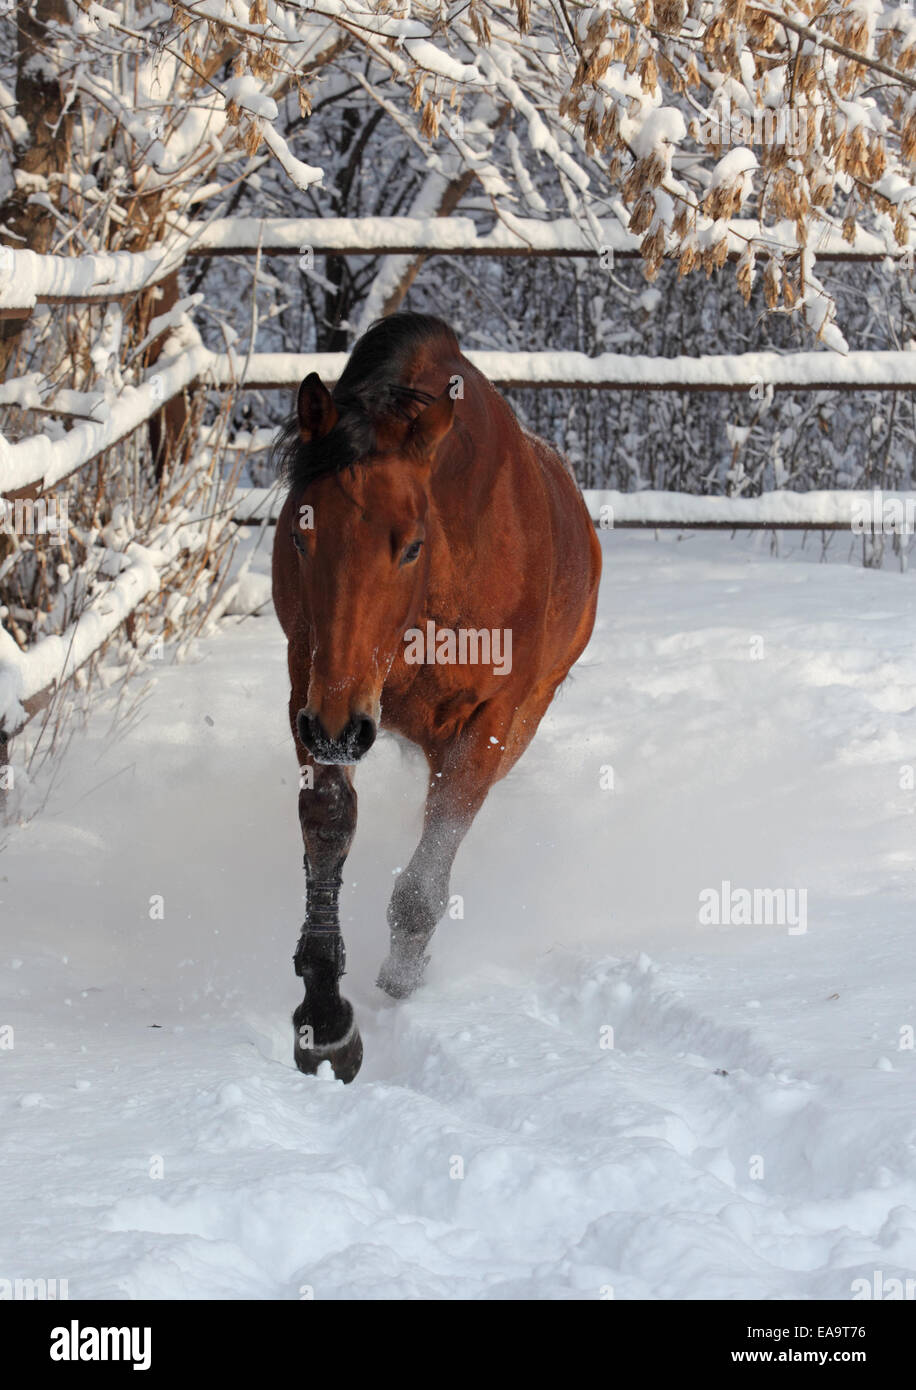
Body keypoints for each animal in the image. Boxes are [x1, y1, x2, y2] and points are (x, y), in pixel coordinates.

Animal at [272, 312, 601, 1081]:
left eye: (412, 546)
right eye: (300, 534)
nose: (340, 728)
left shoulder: (489, 723)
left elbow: (428, 871)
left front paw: (401, 975)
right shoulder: (312, 685)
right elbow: (327, 826)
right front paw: (325, 1020)